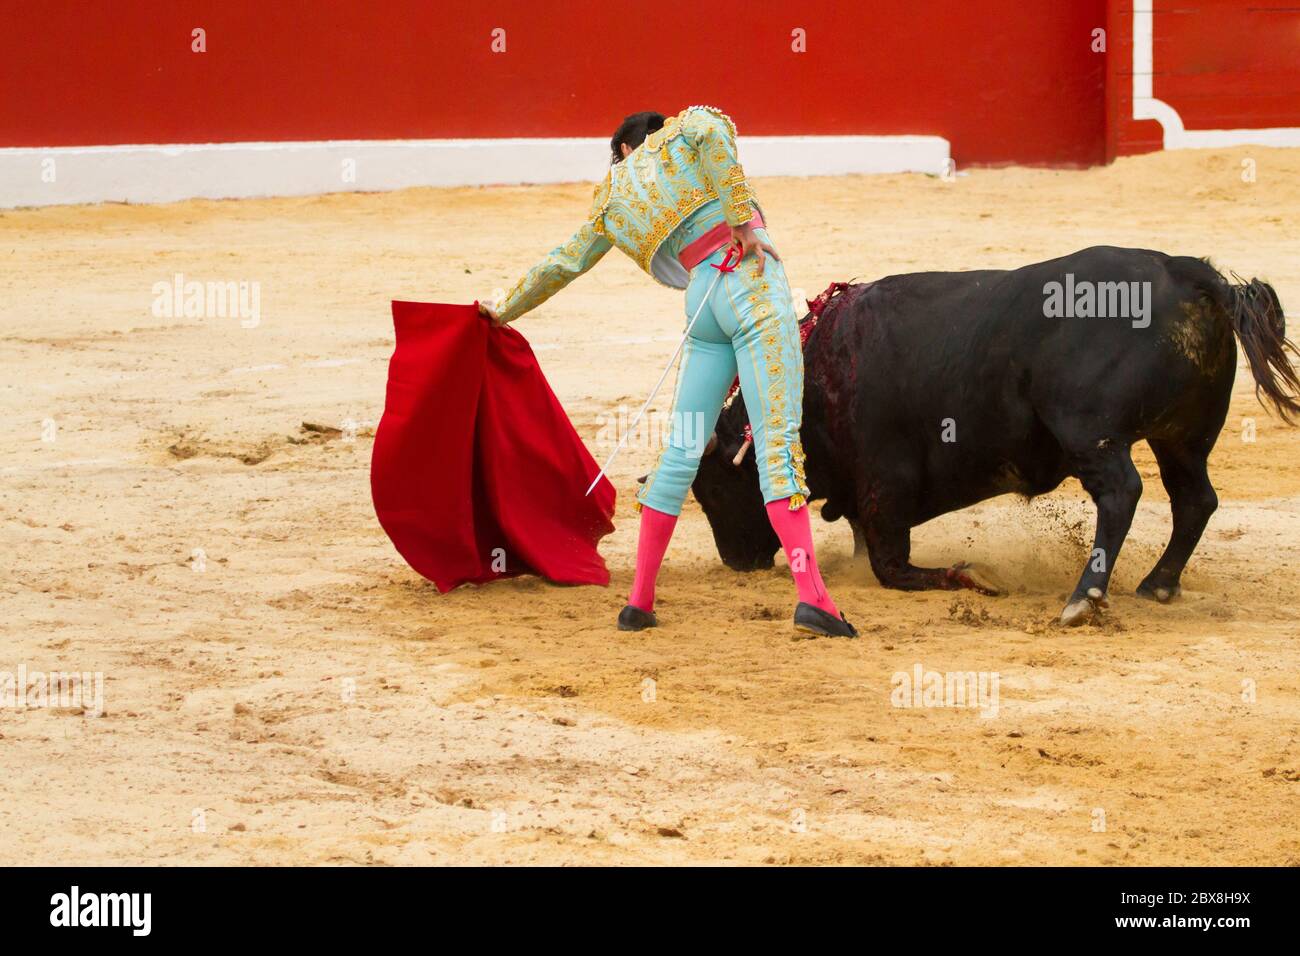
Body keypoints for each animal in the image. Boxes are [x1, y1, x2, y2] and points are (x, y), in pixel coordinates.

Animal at [690, 246, 1299, 626]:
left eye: (714, 488)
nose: (736, 562)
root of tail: (1186, 273)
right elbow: (872, 549)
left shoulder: (886, 479)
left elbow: (890, 564)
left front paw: (974, 576)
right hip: (1183, 438)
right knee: (1195, 499)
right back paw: (1158, 584)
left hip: (1090, 432)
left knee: (1122, 494)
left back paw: (1082, 600)